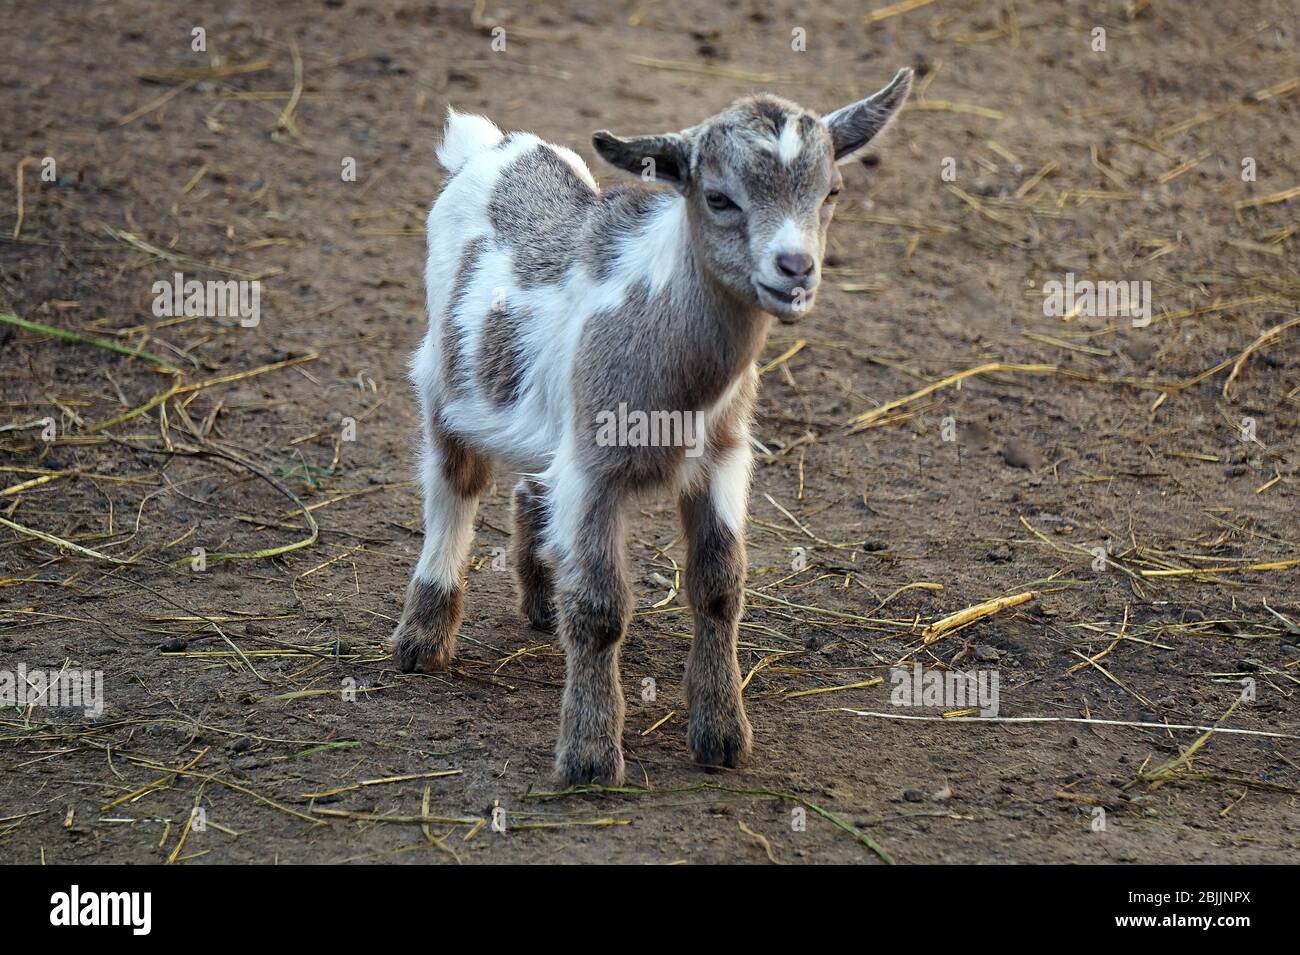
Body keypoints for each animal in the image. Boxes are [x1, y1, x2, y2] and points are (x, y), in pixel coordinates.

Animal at [391, 70, 913, 785]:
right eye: (718, 197)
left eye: (831, 192)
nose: (795, 270)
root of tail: (496, 146)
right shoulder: (593, 470)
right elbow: (600, 608)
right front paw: (589, 757)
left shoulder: (722, 458)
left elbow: (720, 585)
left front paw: (722, 736)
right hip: (445, 379)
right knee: (454, 484)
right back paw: (423, 638)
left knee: (533, 483)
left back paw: (540, 600)